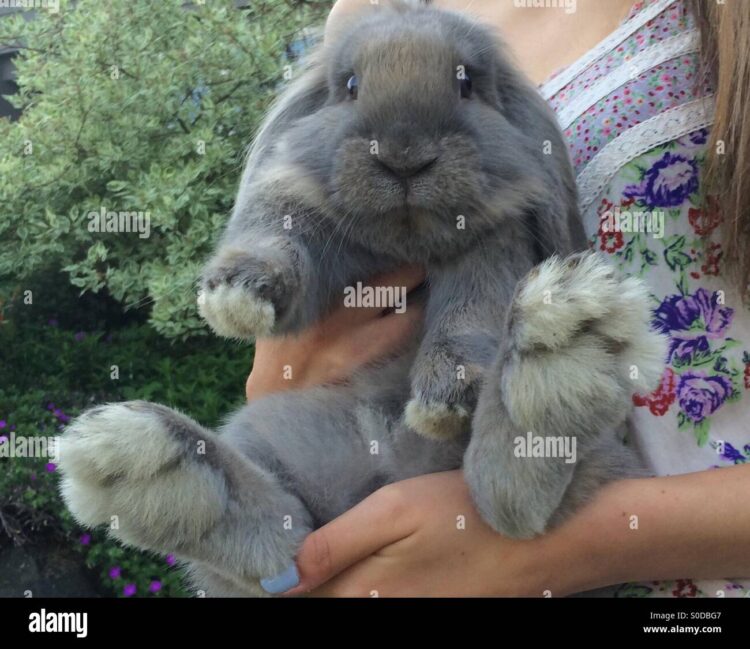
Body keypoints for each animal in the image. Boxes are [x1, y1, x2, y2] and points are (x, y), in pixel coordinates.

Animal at [58, 0, 667, 596]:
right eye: (350, 85)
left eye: (466, 82)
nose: (404, 156)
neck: (405, 234)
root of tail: (394, 467)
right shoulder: (308, 230)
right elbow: (280, 248)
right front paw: (234, 297)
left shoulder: (494, 247)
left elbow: (472, 314)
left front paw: (444, 402)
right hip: (276, 440)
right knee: (283, 543)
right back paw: (144, 462)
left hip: (595, 470)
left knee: (511, 506)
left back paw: (561, 344)